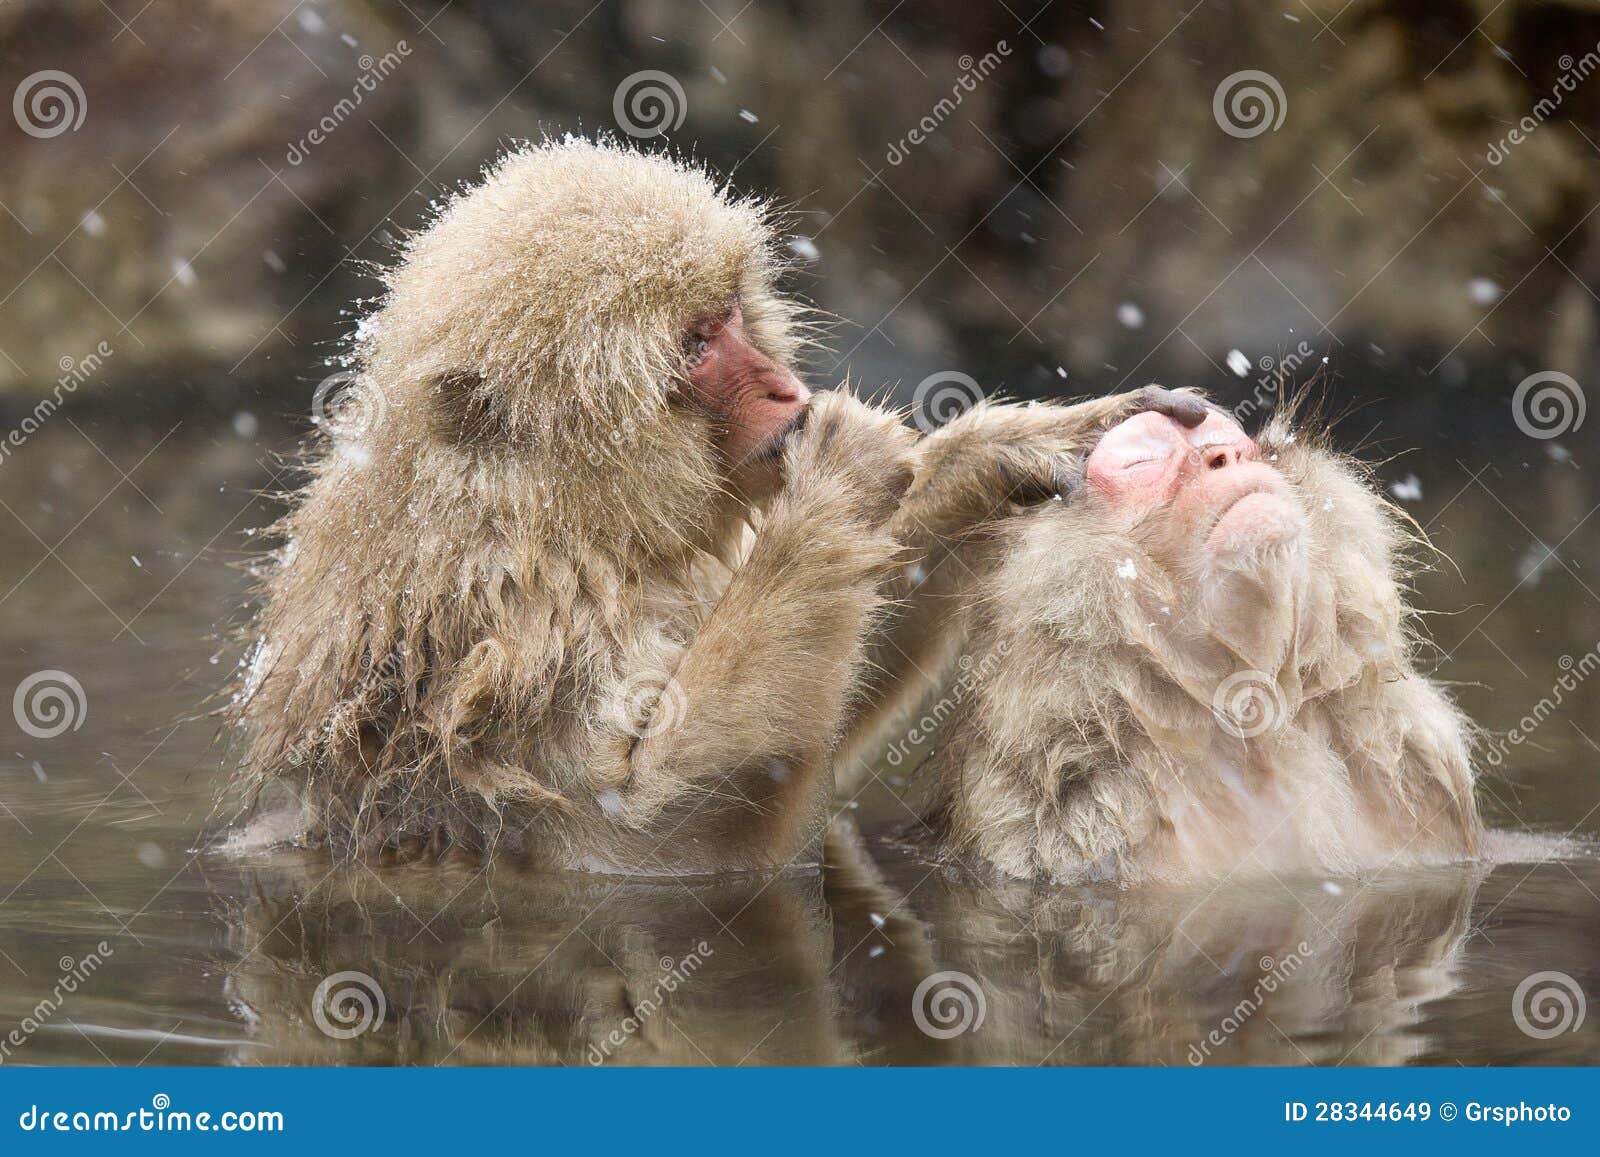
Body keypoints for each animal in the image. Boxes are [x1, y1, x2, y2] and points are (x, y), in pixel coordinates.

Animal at [228, 136, 1195, 873]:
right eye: (697, 347)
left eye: (729, 313)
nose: (781, 387)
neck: (555, 524)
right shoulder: (519, 649)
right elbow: (649, 838)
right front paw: (836, 484)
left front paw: (979, 462)